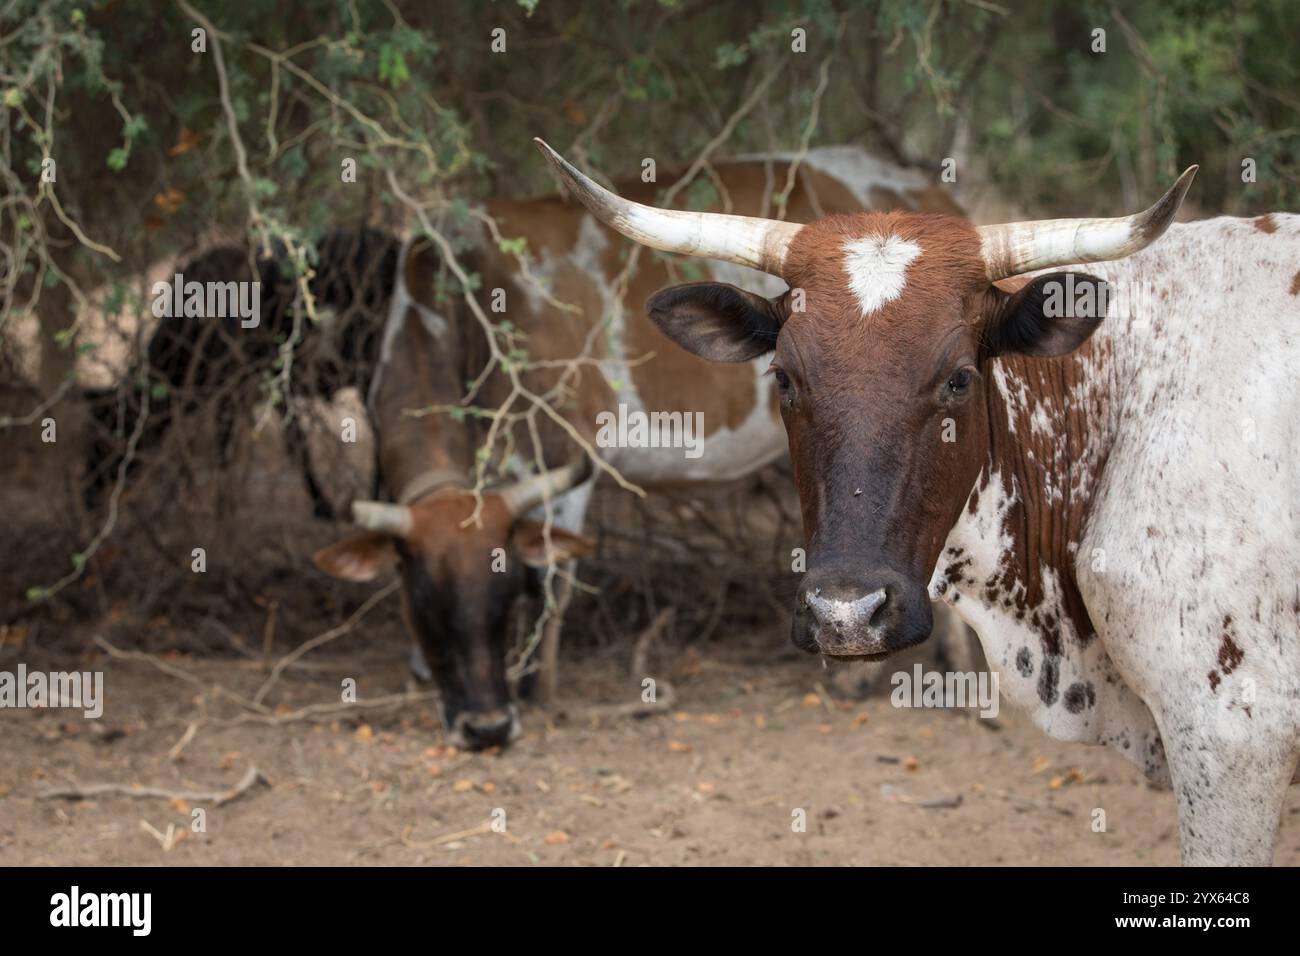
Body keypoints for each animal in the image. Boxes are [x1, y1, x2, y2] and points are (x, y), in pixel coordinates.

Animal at [312, 145, 974, 750]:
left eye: (501, 602)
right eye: (424, 603)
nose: (486, 727)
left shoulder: (560, 452)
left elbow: (552, 579)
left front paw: (536, 688)